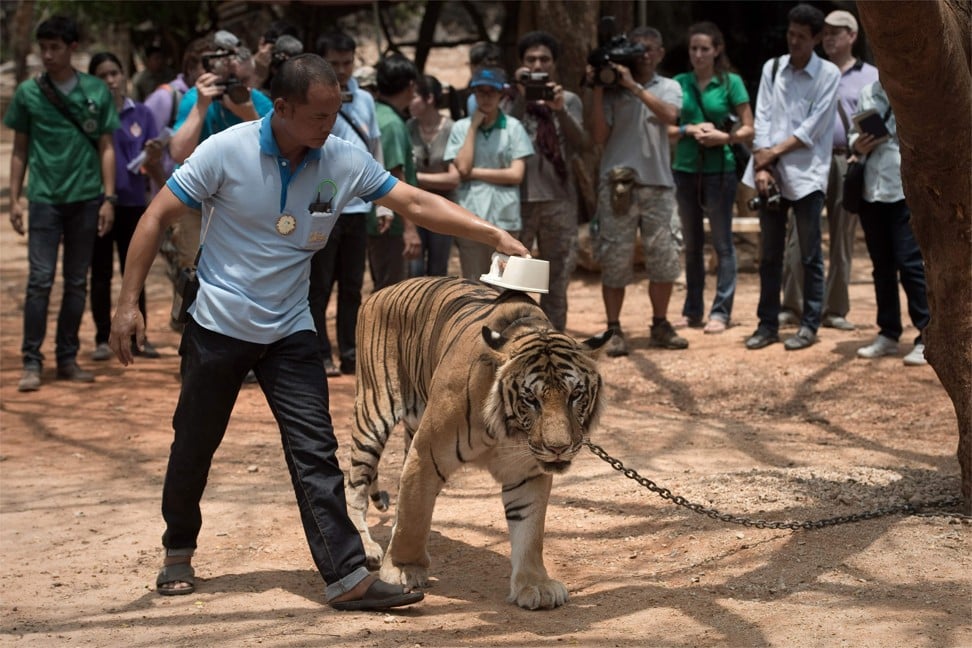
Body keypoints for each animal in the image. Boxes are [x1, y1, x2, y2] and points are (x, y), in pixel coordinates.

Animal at [346, 276, 610, 610]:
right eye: (531, 399)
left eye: (575, 395)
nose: (558, 448)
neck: (508, 431)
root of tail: (382, 291)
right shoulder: (427, 454)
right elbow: (414, 517)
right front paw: (403, 570)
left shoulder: (527, 472)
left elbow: (529, 530)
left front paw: (535, 585)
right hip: (372, 412)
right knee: (355, 487)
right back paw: (367, 546)